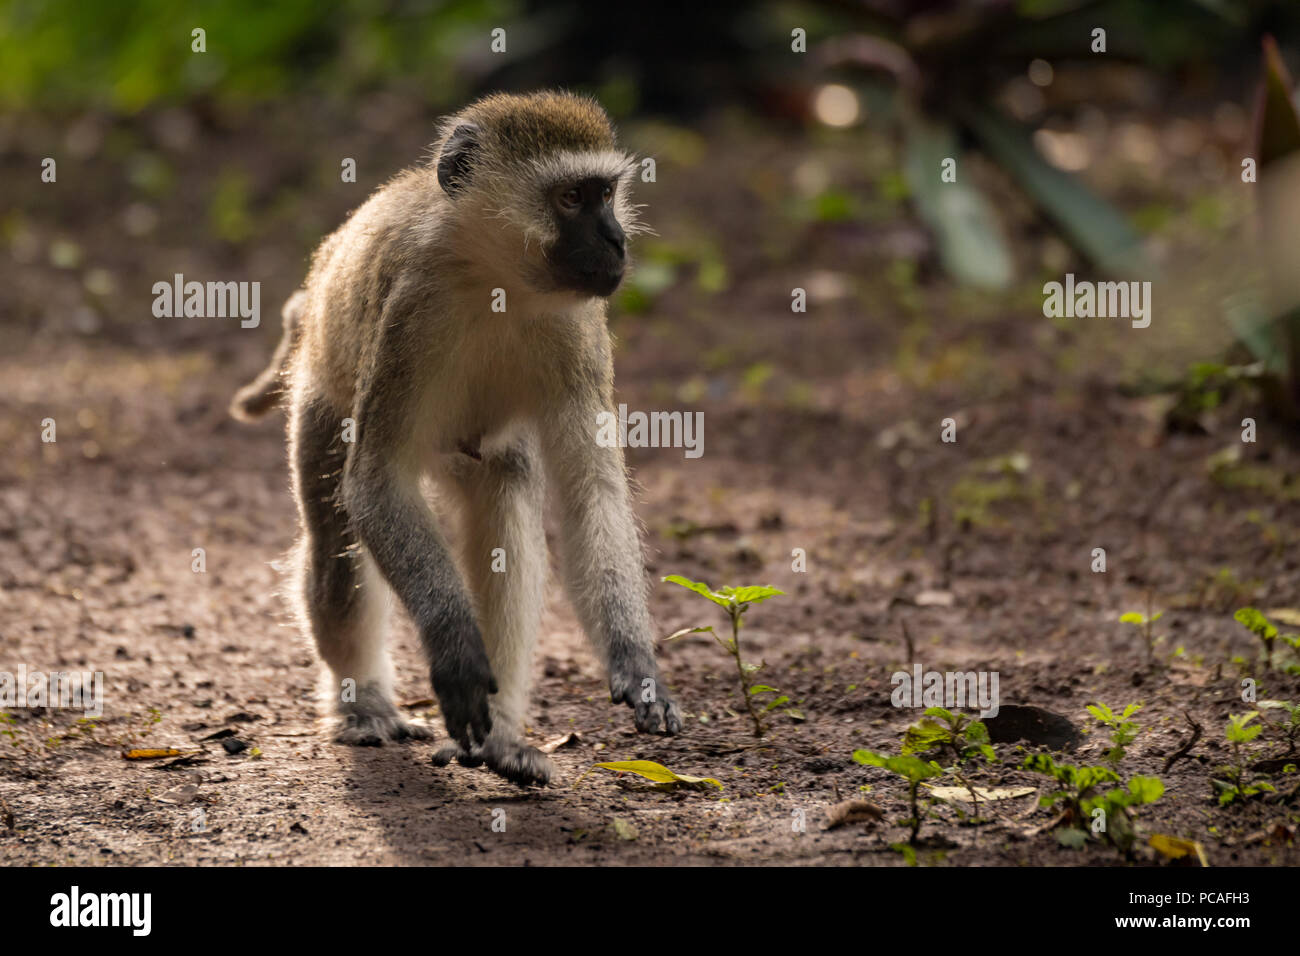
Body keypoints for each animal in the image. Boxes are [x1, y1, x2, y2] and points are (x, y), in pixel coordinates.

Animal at [230, 91, 682, 788]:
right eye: (572, 198)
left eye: (607, 193)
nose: (617, 239)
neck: (498, 278)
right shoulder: (413, 309)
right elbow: (375, 481)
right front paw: (456, 648)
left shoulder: (580, 327)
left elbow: (590, 494)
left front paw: (636, 663)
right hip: (323, 396)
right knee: (336, 543)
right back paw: (363, 704)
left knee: (506, 491)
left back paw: (500, 742)